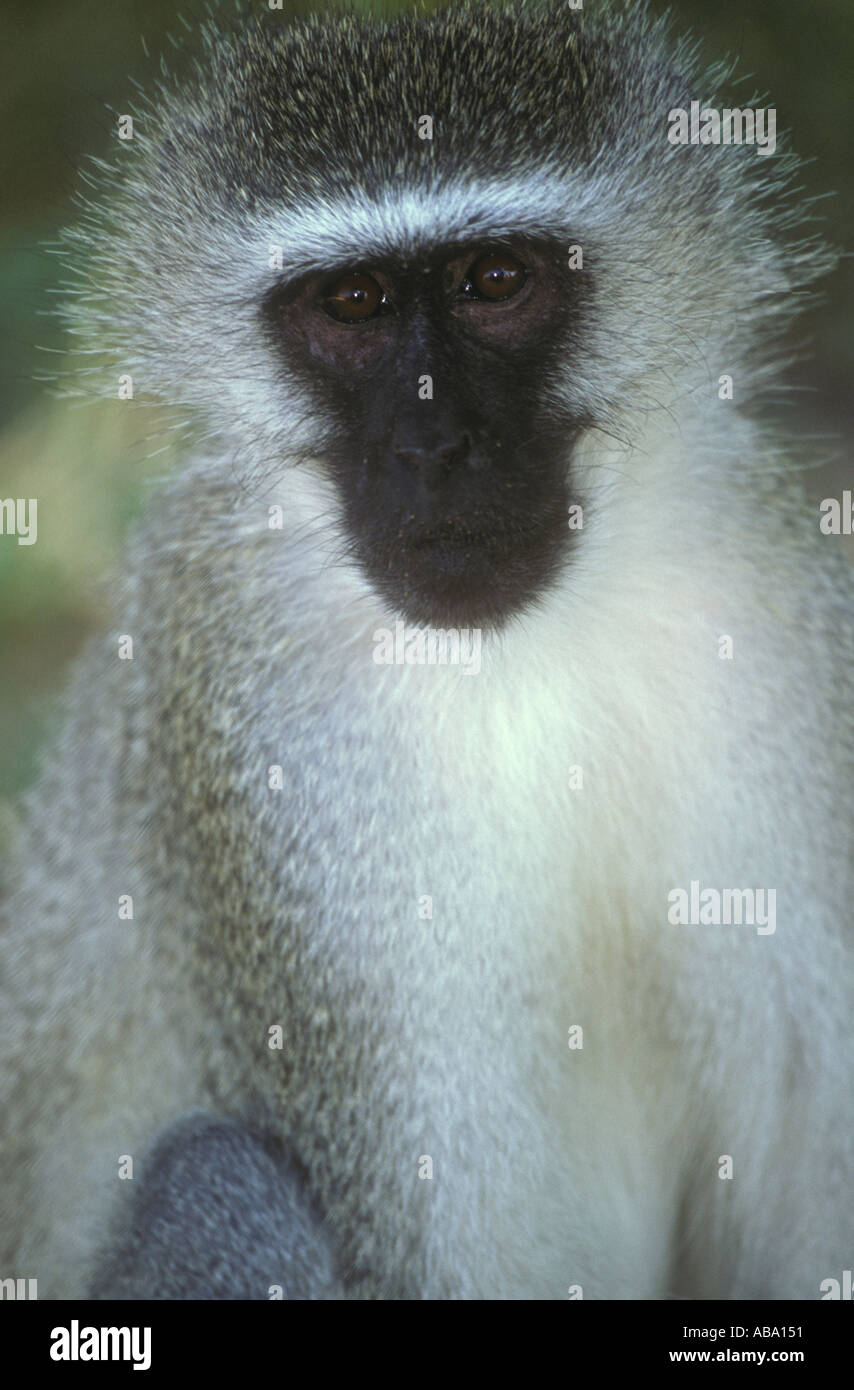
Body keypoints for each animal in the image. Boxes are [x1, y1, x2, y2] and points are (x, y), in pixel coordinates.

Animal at [1, 0, 853, 1301]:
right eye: (350, 302)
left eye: (492, 280)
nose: (432, 446)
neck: (519, 652)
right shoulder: (256, 749)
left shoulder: (770, 619)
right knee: (213, 1175)